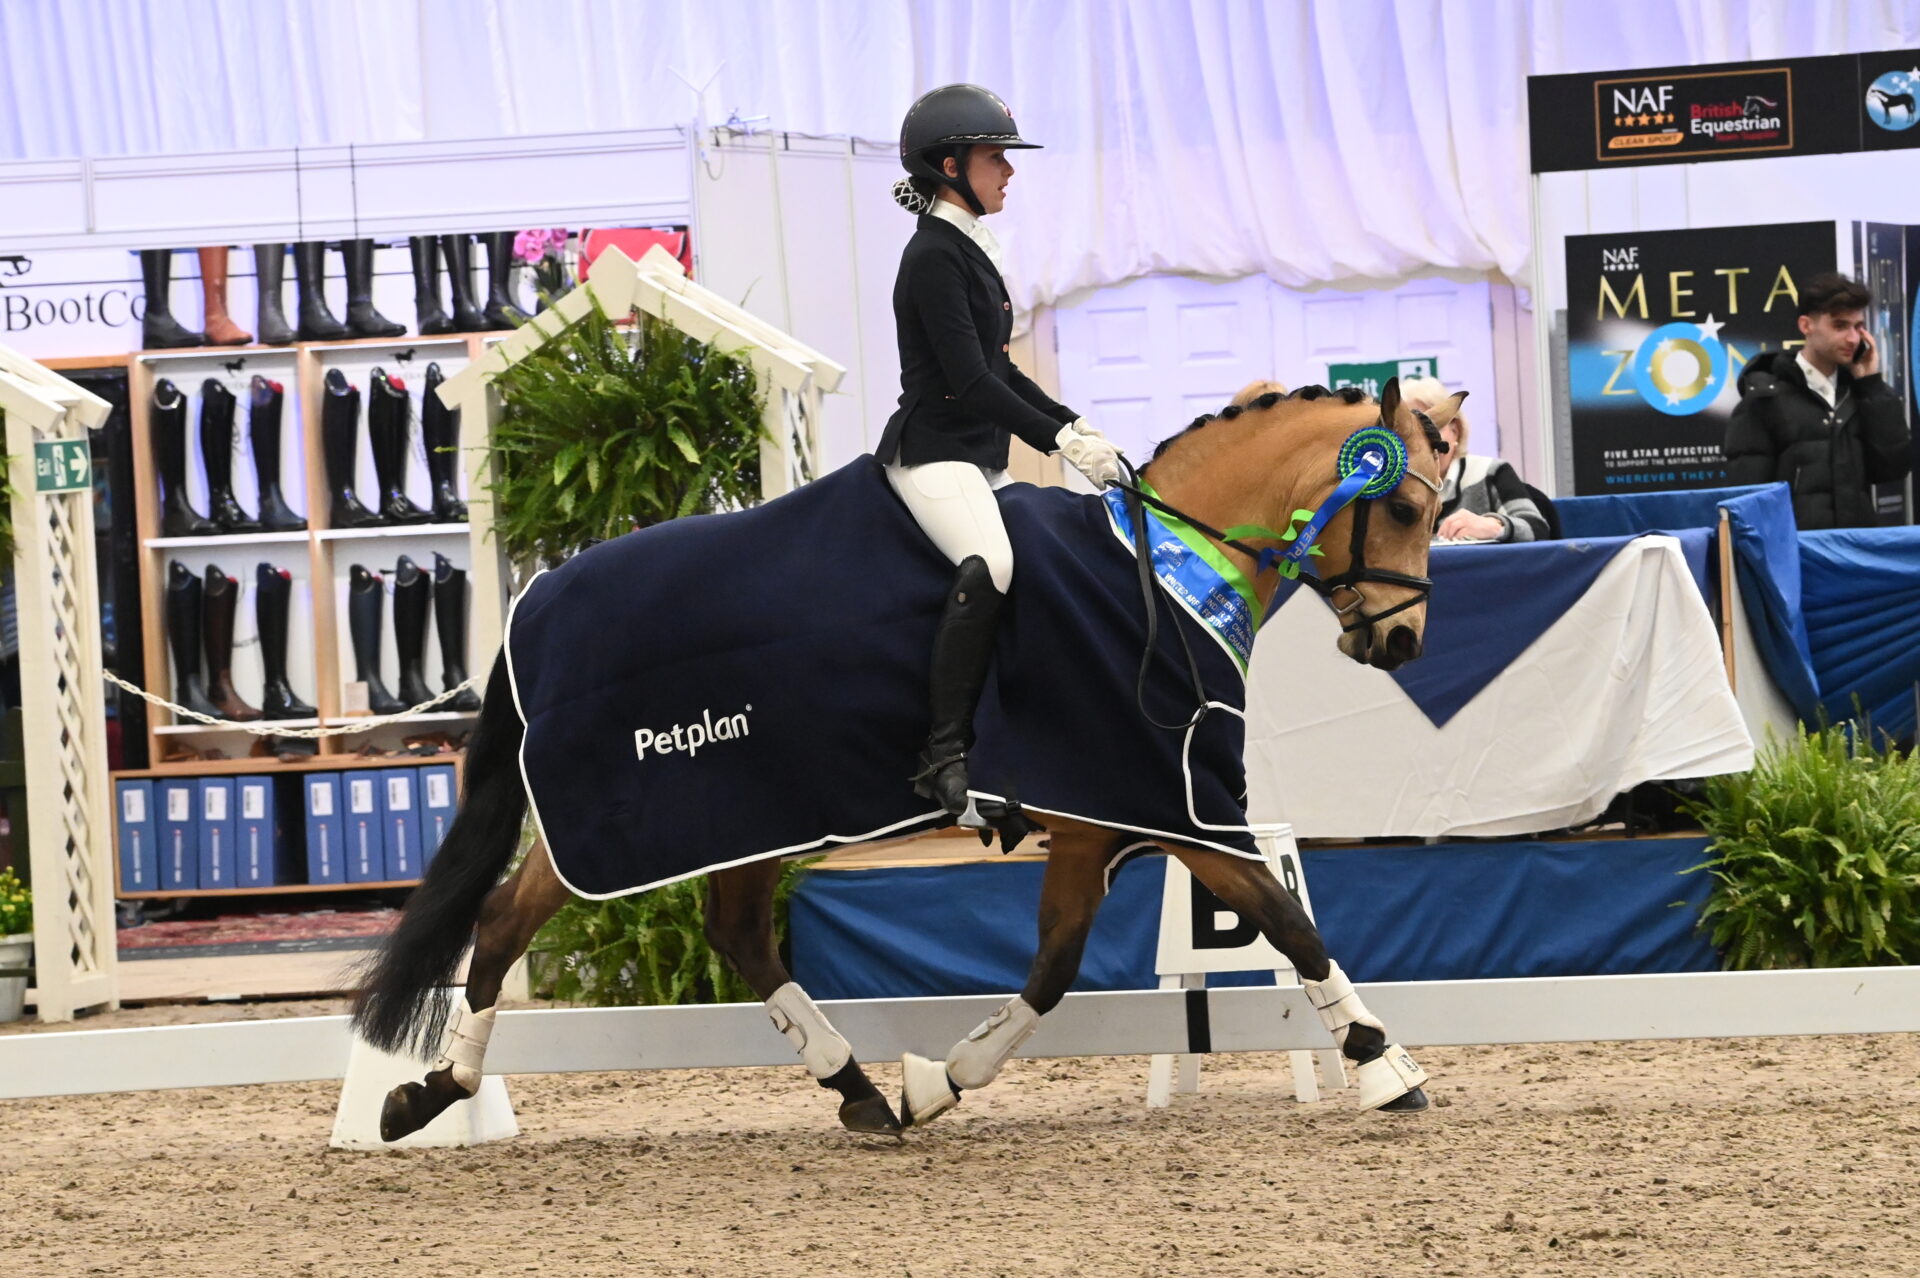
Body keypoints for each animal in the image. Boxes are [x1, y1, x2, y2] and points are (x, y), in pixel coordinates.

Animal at [352, 377, 1462, 1140]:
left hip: (741, 815)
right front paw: (1387, 1065)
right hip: (645, 818)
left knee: (727, 932)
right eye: (1408, 509)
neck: (1163, 572)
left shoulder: (1097, 820)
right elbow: (1286, 918)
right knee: (508, 922)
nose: (1403, 642)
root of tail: (539, 599)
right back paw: (433, 1092)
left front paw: (939, 1082)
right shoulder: (1172, 803)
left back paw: (853, 1089)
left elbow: (1056, 963)